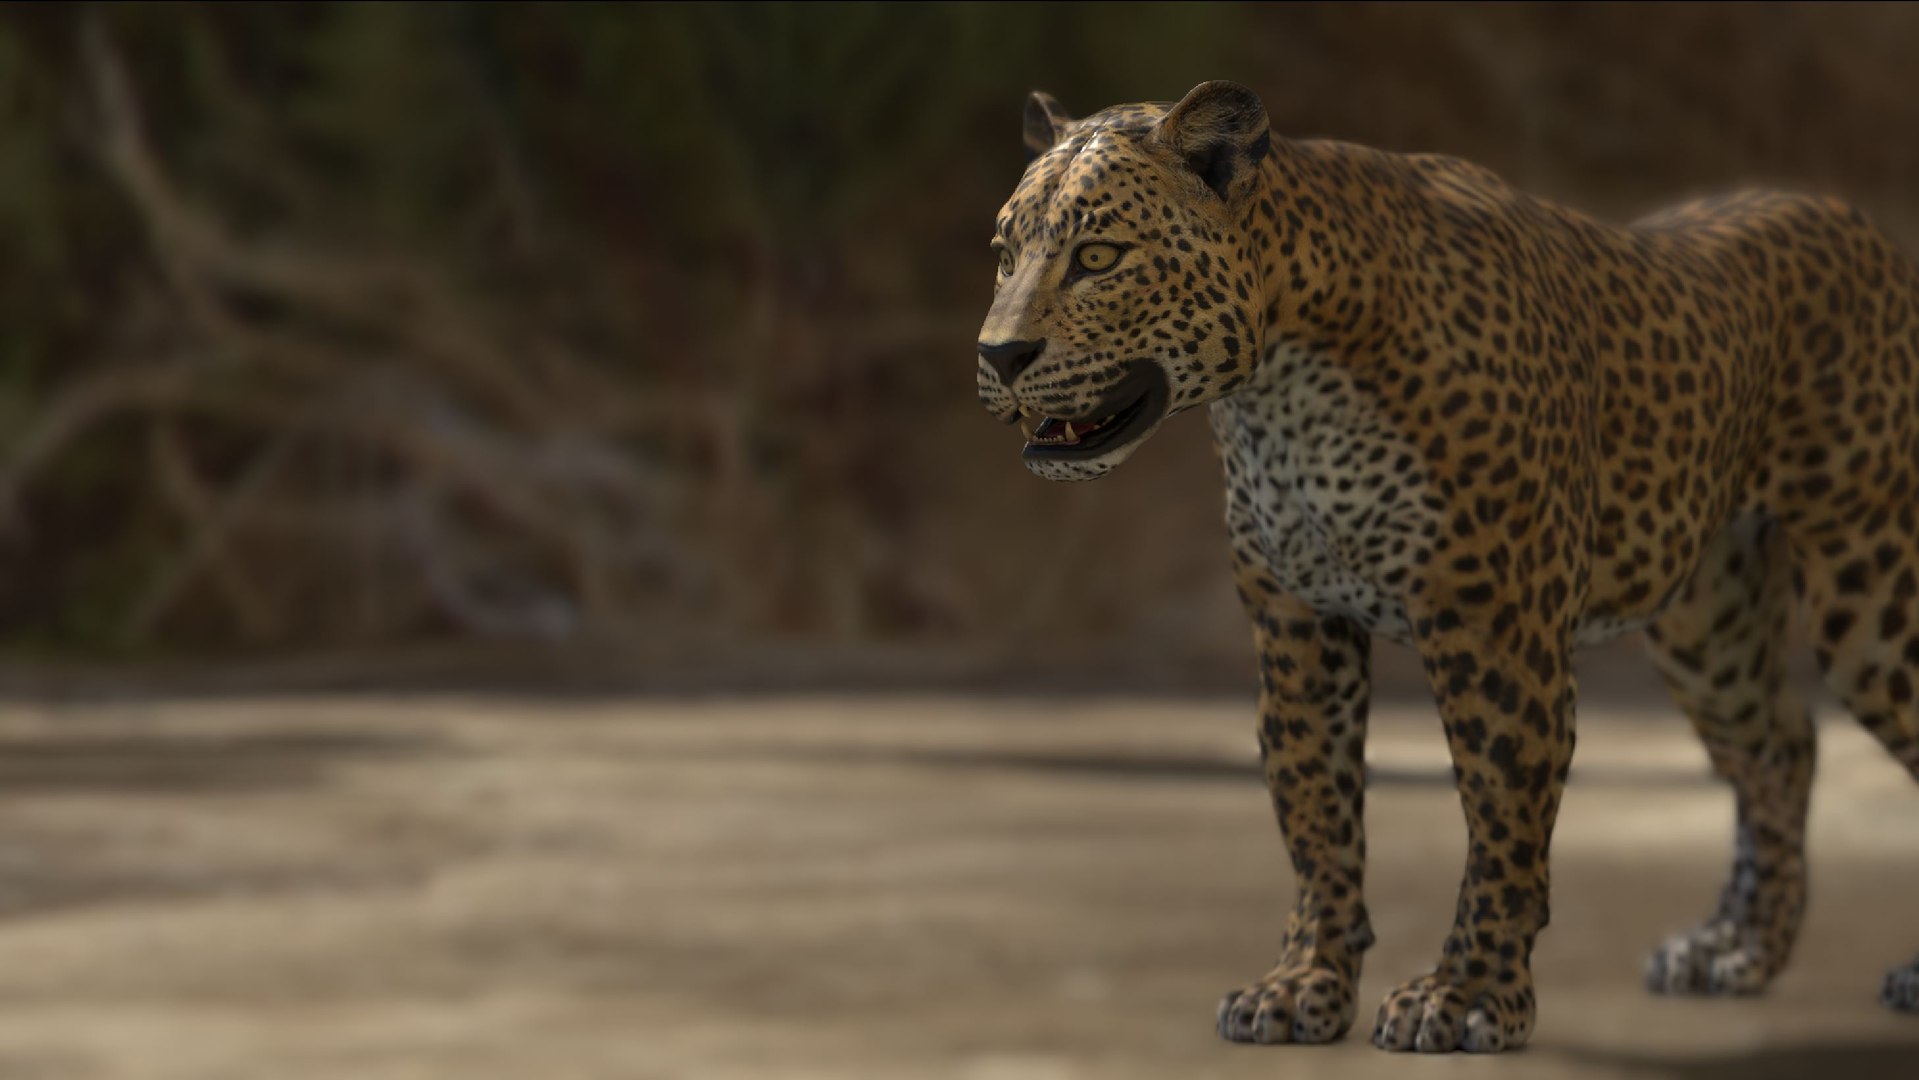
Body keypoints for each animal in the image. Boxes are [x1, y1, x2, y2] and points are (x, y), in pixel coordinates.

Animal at [974, 80, 1919, 1053]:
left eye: (1098, 257)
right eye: (1004, 256)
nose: (996, 356)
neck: (1284, 389)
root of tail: (1847, 216)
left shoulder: (1494, 634)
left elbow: (1499, 821)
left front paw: (1466, 997)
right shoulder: (1295, 630)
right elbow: (1315, 815)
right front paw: (1302, 985)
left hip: (1868, 599)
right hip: (1707, 627)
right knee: (1780, 746)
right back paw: (1735, 948)